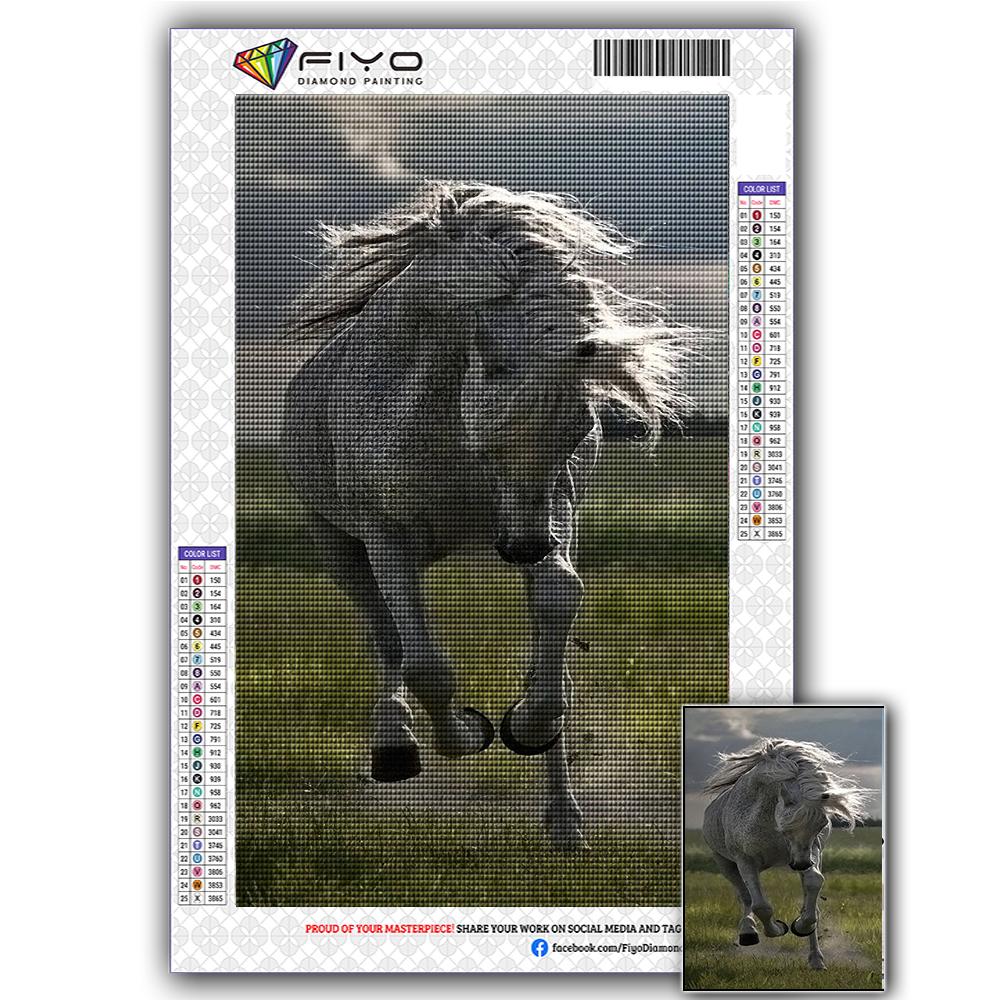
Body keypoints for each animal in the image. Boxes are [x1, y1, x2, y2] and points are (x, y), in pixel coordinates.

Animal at [280, 181, 690, 851]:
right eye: (494, 434)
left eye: (577, 433)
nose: (522, 549)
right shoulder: (385, 538)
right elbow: (423, 663)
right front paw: (467, 734)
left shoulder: (554, 512)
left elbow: (557, 609)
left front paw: (528, 726)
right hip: (338, 545)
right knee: (386, 640)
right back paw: (394, 743)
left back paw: (563, 820)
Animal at [700, 738, 870, 970]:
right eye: (787, 827)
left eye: (821, 825)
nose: (801, 865)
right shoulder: (745, 861)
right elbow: (760, 905)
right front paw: (778, 928)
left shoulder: (811, 851)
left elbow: (814, 884)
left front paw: (801, 925)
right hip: (726, 864)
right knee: (745, 897)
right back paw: (748, 932)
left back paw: (816, 960)